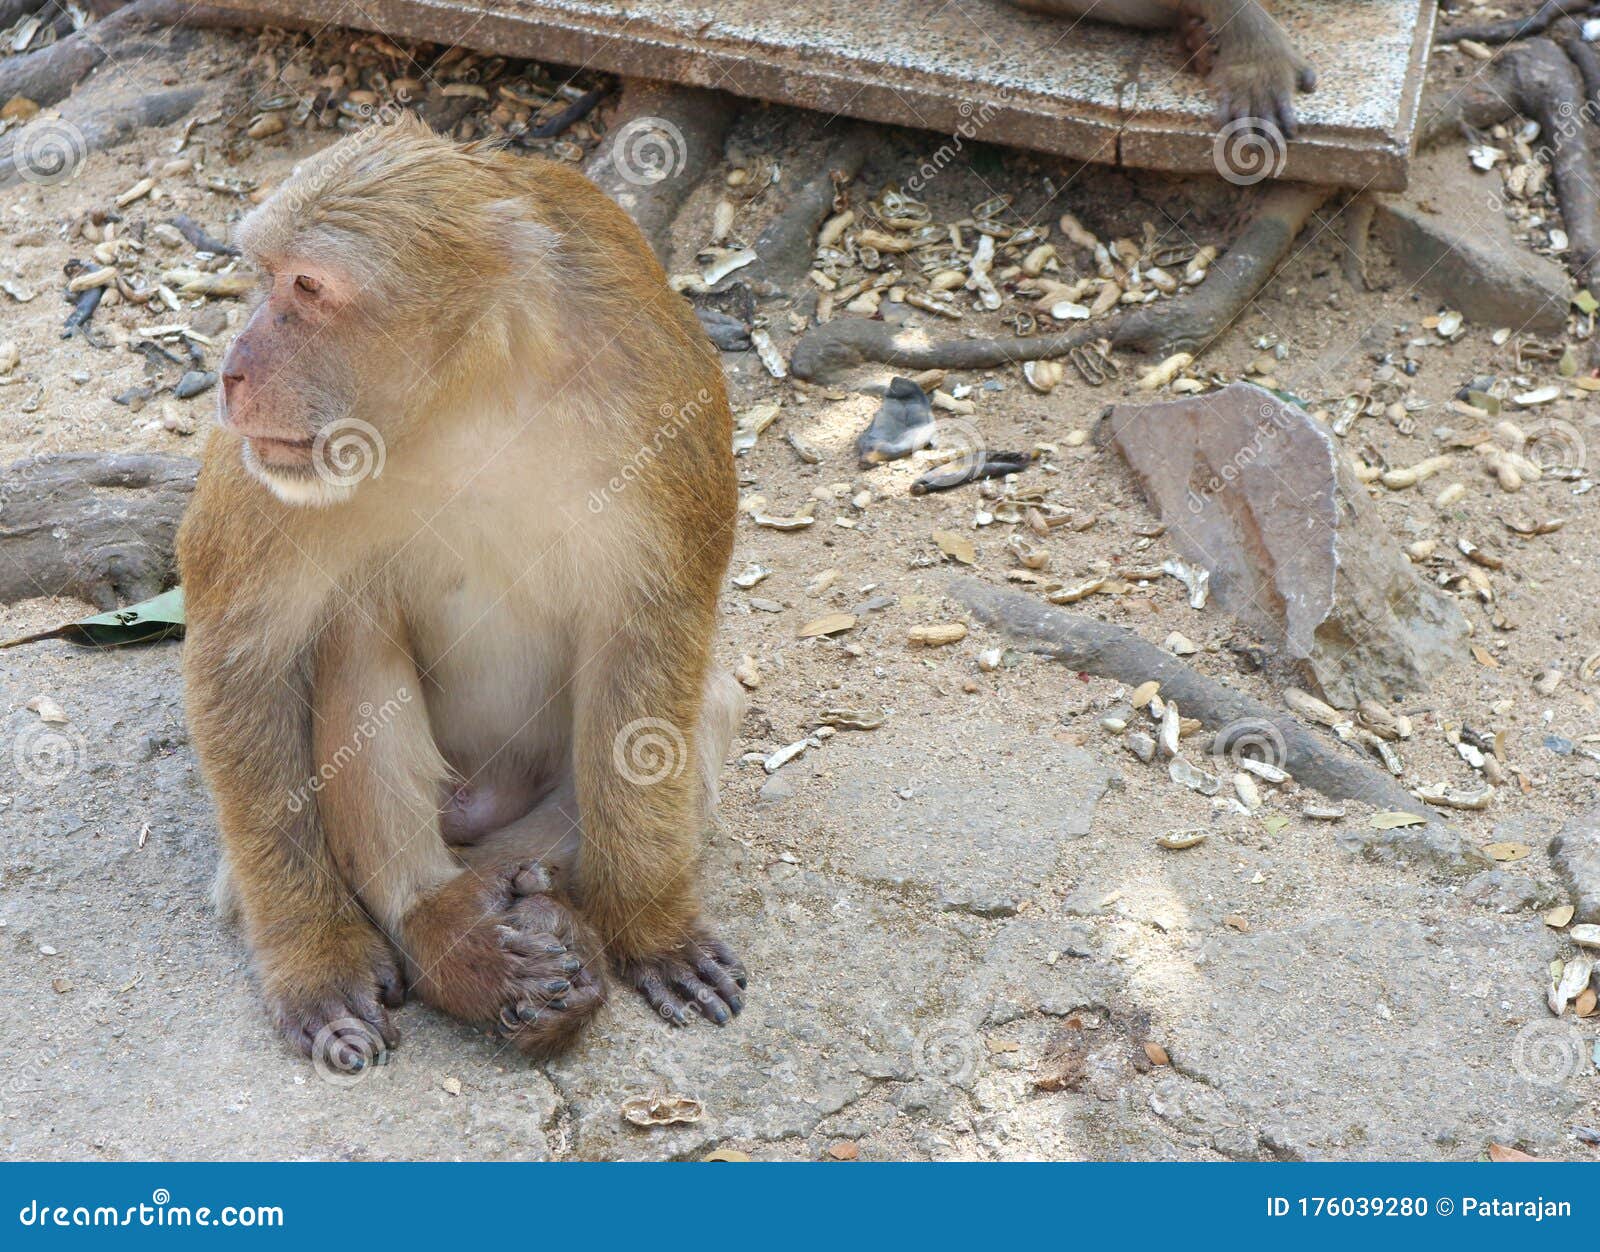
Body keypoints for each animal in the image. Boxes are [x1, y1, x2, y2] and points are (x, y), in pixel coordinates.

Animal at [178, 113, 748, 1062]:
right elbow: (243, 659)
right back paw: (447, 930)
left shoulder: (659, 398)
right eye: (263, 276)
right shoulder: (267, 470)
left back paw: (552, 924)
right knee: (349, 628)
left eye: (308, 286)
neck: (467, 395)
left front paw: (650, 925)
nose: (233, 370)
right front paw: (314, 959)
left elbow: (651, 634)